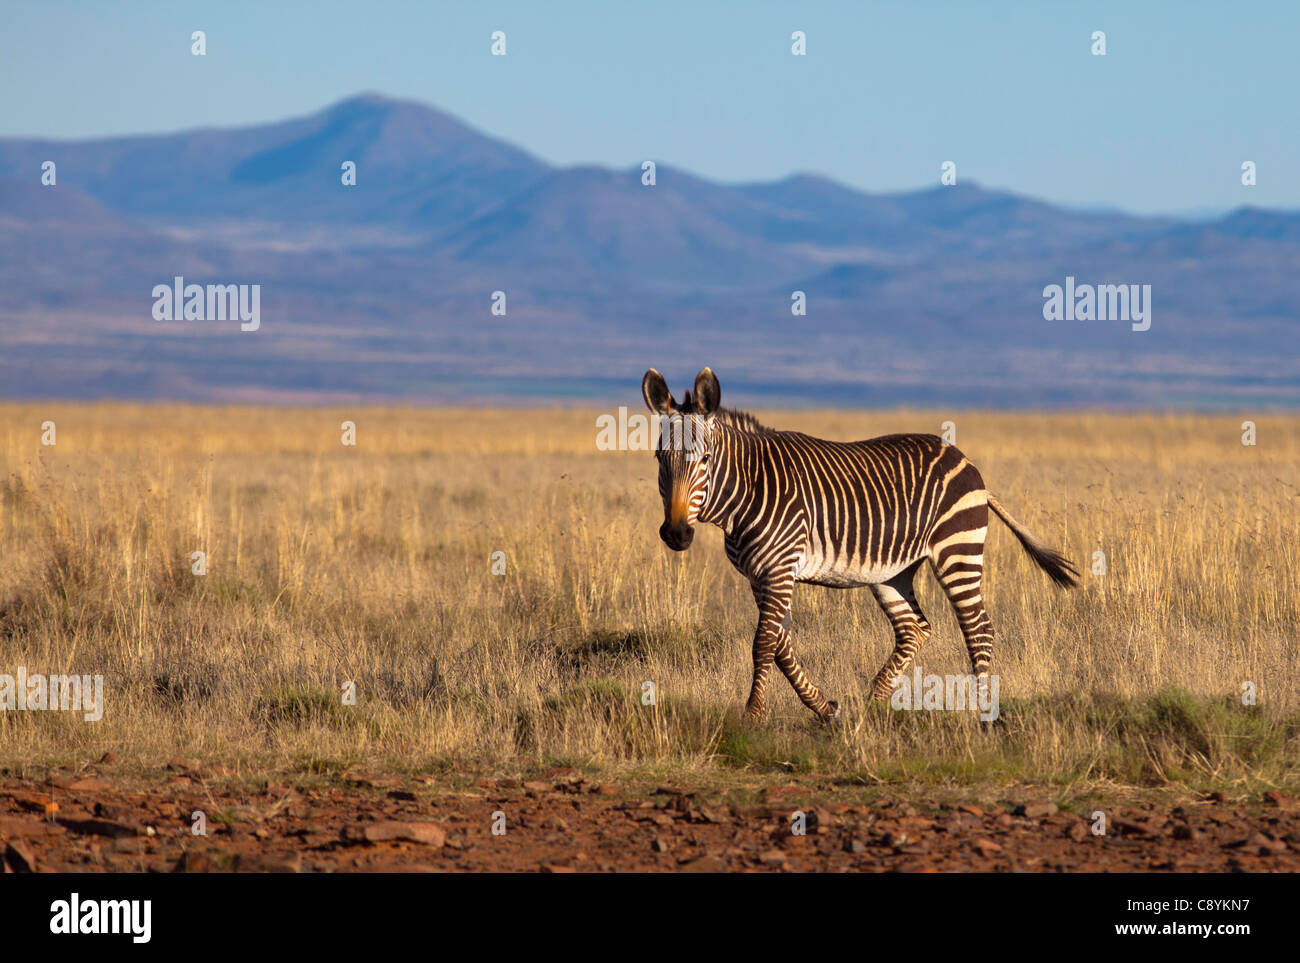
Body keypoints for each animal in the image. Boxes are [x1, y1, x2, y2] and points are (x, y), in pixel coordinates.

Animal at [642, 366, 1078, 722]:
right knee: (915, 628)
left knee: (978, 627)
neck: (749, 488)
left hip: (958, 549)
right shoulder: (759, 575)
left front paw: (753, 715)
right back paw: (873, 704)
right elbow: (781, 644)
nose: (676, 533)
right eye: (659, 458)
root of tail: (964, 459)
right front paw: (824, 708)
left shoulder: (779, 568)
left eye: (705, 460)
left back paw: (983, 713)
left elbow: (763, 642)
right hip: (892, 572)